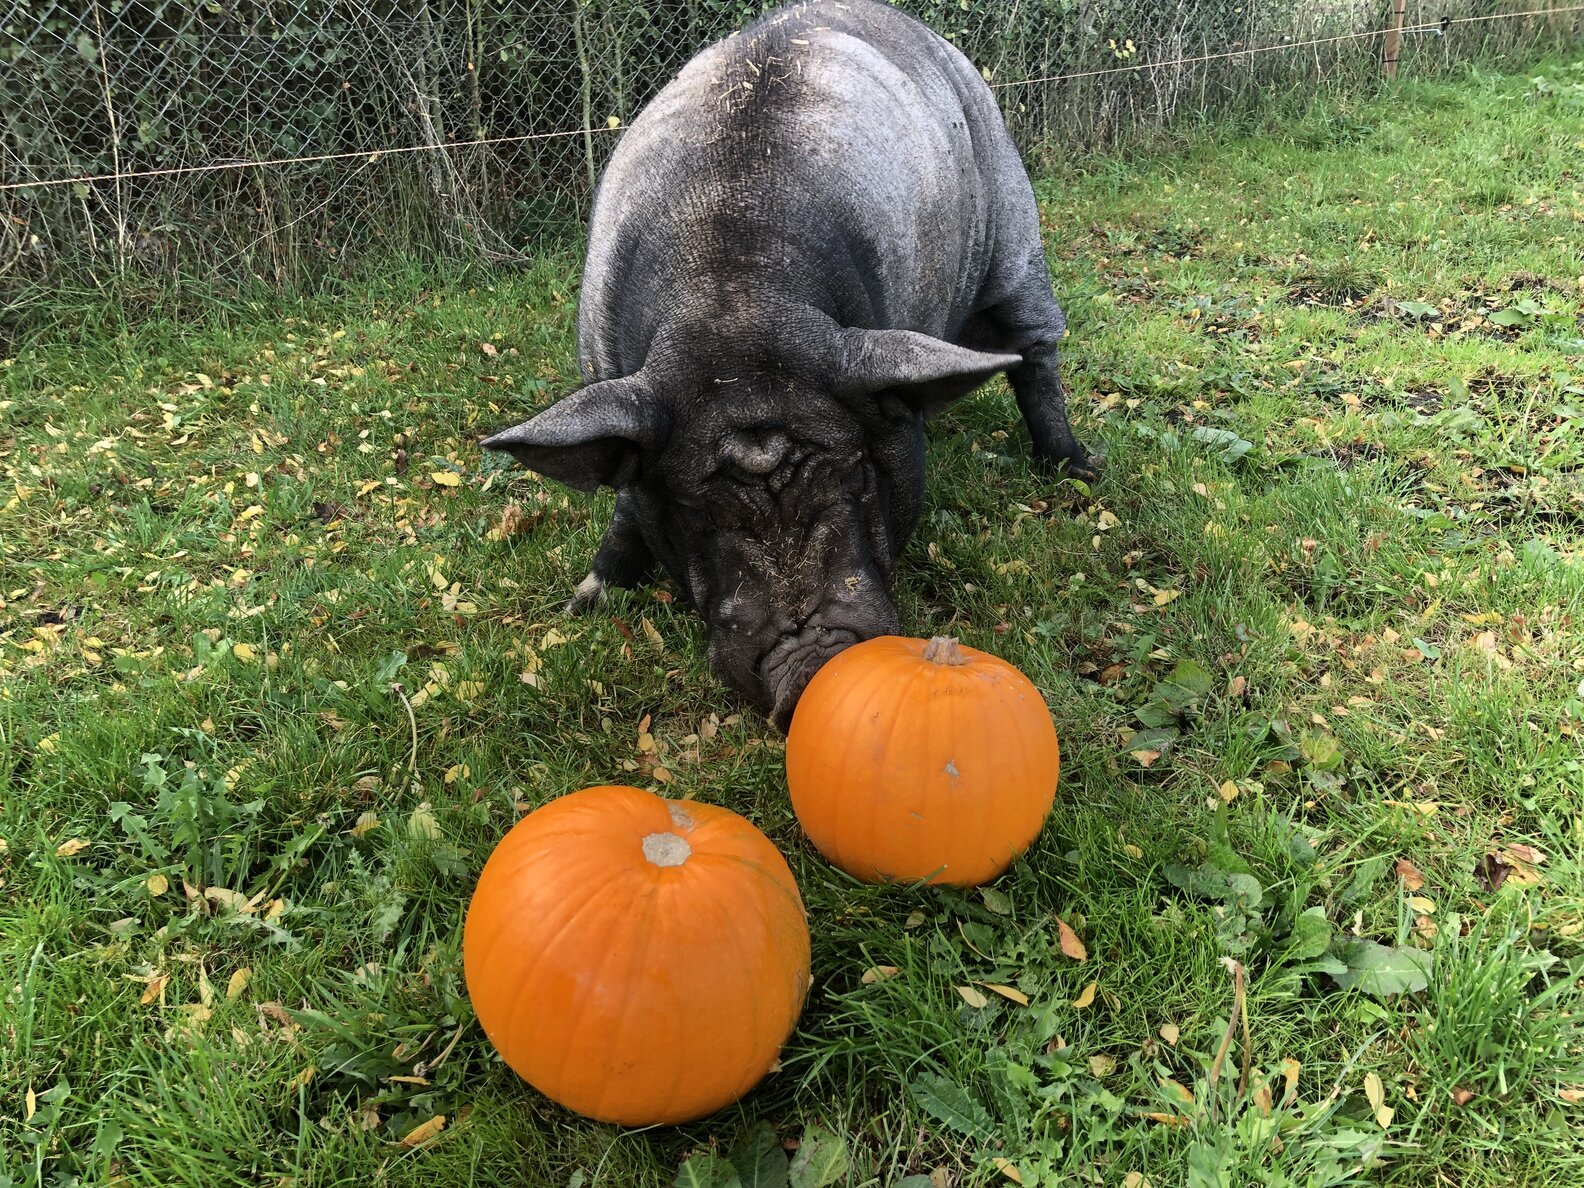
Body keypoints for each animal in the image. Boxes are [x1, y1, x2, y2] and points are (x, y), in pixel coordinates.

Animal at [483, 0, 1092, 731]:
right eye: (694, 508)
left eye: (858, 473)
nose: (809, 667)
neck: (736, 302)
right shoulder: (620, 390)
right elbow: (626, 503)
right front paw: (585, 603)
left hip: (1015, 232)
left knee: (1036, 352)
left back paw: (1076, 470)